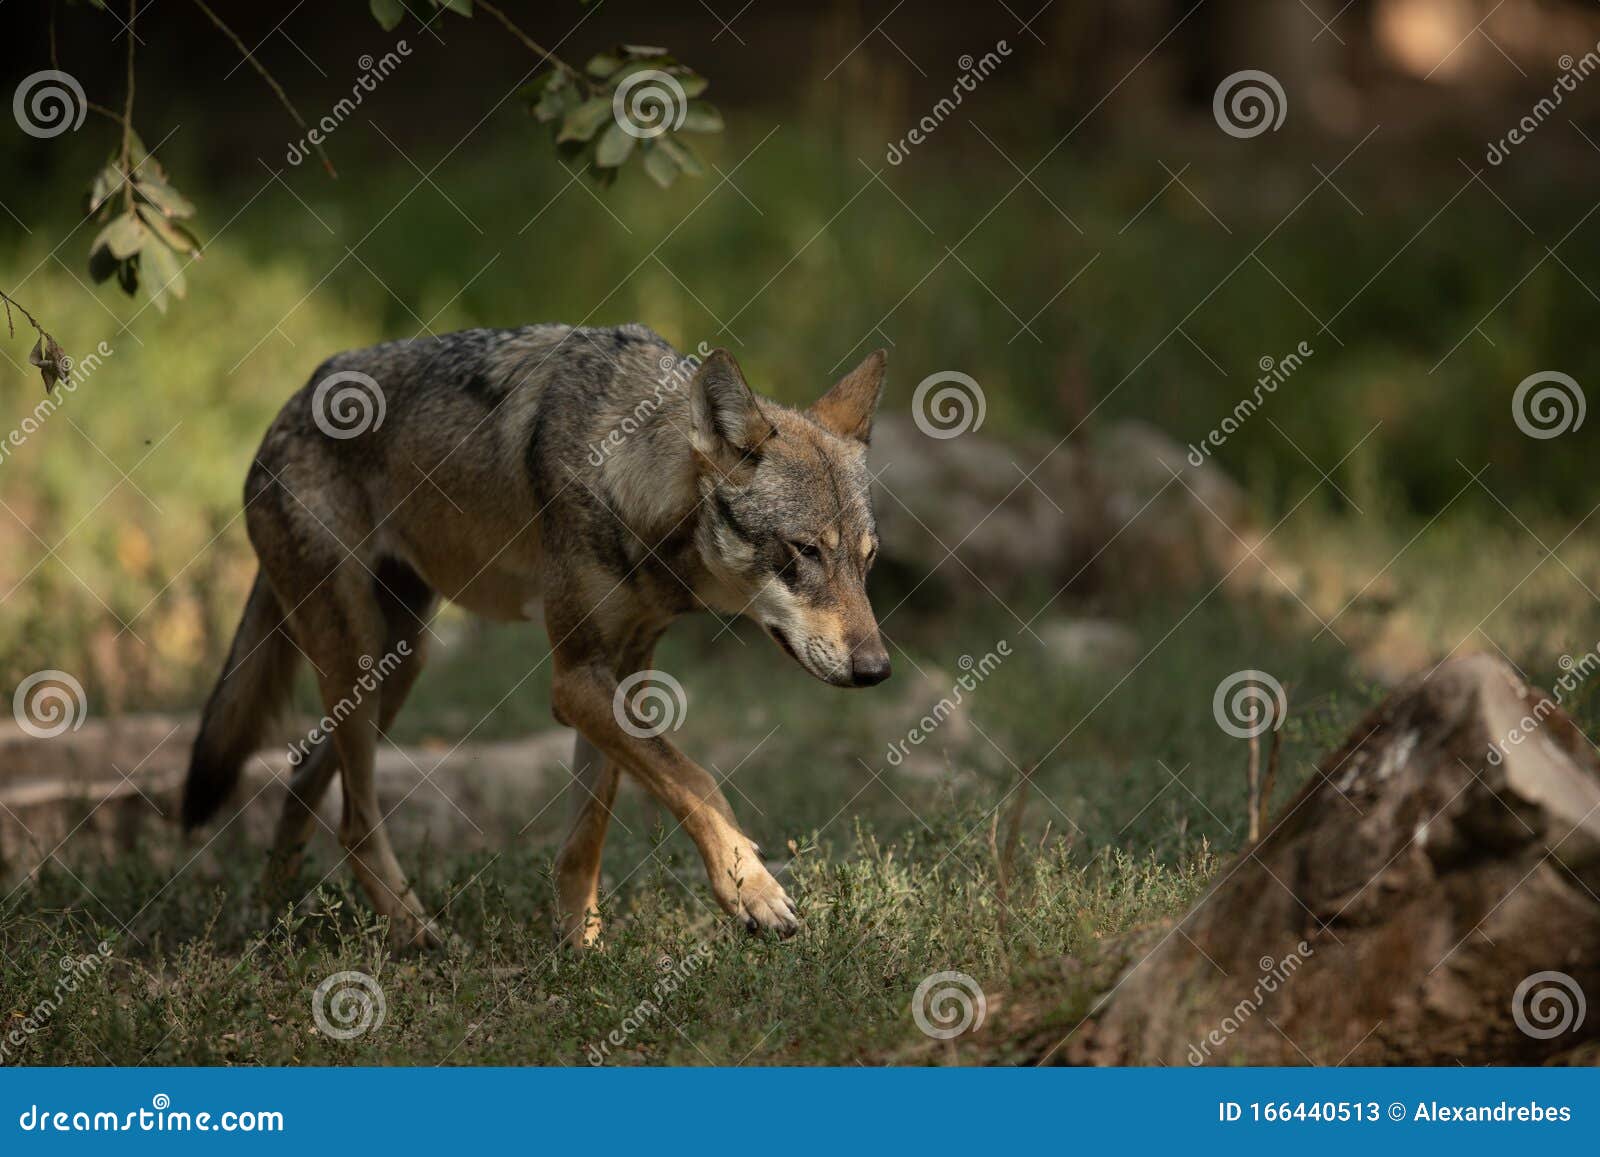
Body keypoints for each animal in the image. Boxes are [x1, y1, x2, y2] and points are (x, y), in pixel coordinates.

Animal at [182, 323, 892, 948]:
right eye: (803, 551)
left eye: (868, 561)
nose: (878, 670)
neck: (631, 476)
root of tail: (287, 412)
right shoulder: (574, 679)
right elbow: (694, 779)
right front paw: (751, 888)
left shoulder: (624, 673)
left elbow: (589, 830)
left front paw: (581, 948)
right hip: (360, 658)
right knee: (354, 822)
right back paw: (415, 934)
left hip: (398, 665)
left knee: (305, 779)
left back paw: (271, 922)